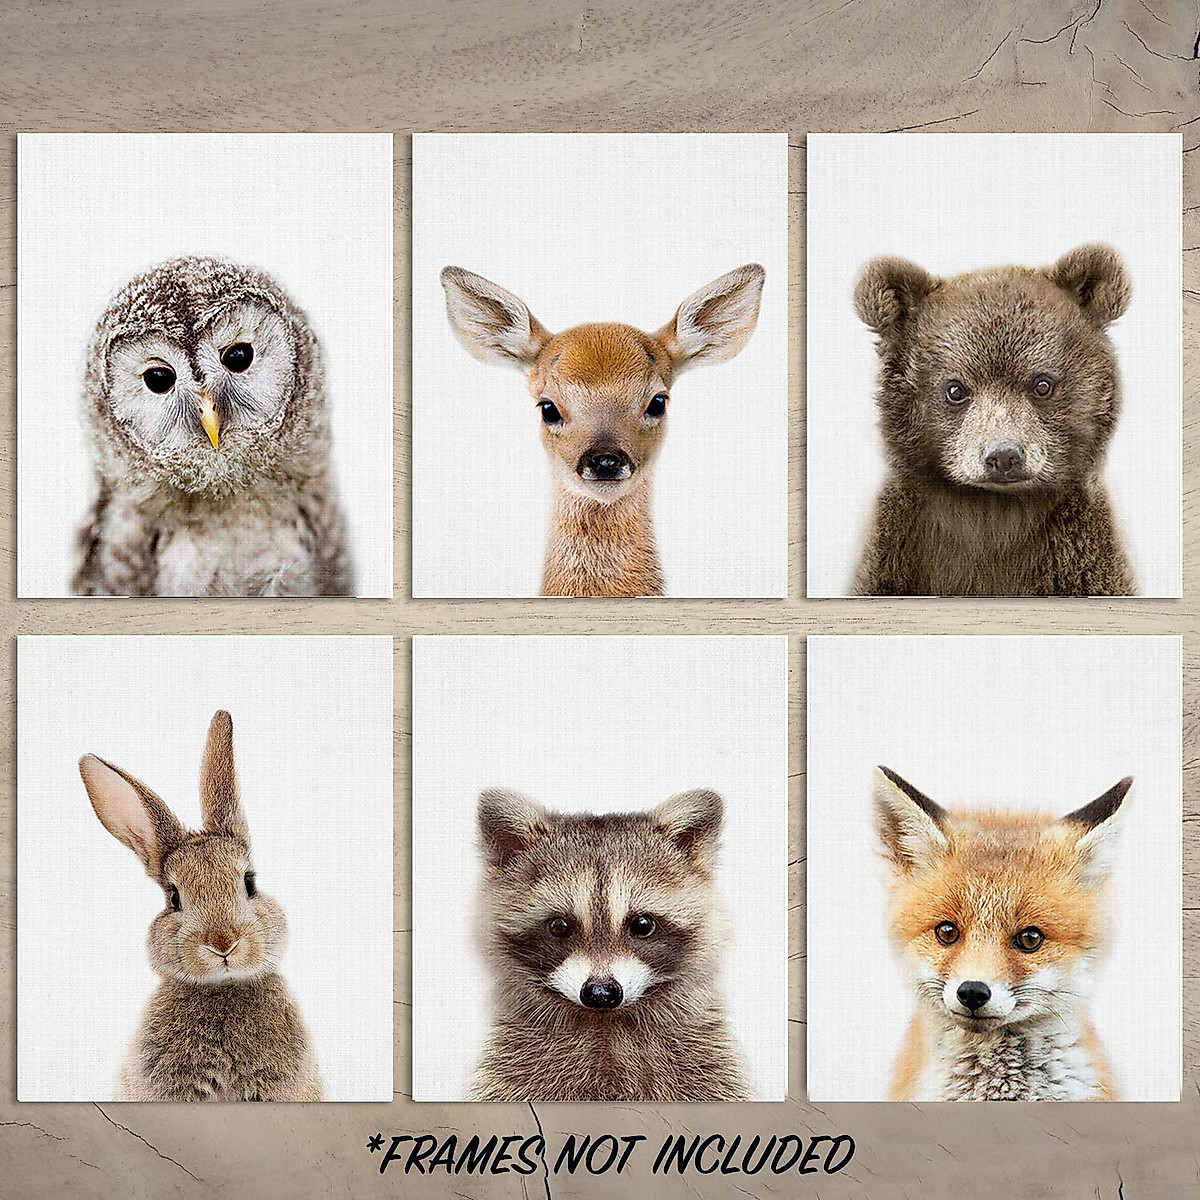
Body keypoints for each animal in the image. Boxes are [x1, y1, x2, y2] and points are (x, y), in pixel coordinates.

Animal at [470, 786, 750, 1102]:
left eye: (642, 924)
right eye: (559, 926)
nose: (601, 993)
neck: (606, 1023)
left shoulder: (706, 1060)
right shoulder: (513, 1067)